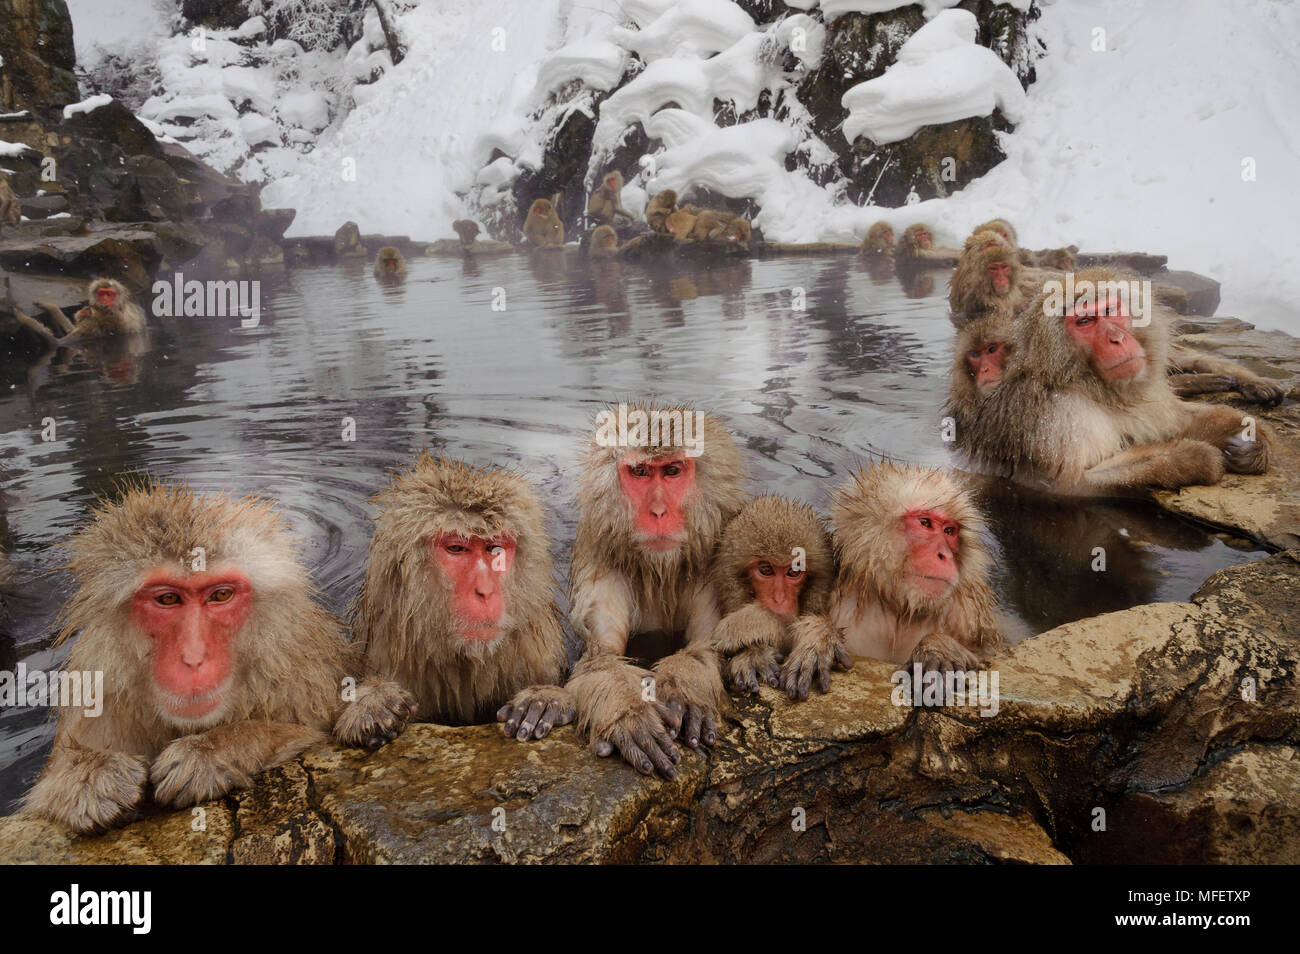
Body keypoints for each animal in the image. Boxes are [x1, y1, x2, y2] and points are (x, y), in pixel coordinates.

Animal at [21, 483, 414, 835]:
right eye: (167, 599)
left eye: (220, 595)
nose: (193, 657)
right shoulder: (102, 689)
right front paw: (92, 776)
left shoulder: (294, 668)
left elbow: (308, 732)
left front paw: (210, 750)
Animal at [565, 400, 749, 777]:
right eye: (639, 472)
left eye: (673, 471)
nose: (659, 512)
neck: (660, 569)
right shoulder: (601, 559)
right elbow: (602, 658)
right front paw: (629, 712)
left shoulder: (717, 556)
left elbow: (707, 647)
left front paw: (685, 688)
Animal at [829, 462, 1001, 672]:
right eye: (925, 523)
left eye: (949, 531)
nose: (944, 555)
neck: (902, 610)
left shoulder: (968, 615)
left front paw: (939, 647)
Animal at [966, 267, 1275, 494]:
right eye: (1084, 322)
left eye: (1109, 311)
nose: (1116, 339)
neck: (1095, 388)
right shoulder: (1054, 417)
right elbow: (1069, 485)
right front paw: (1195, 459)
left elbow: (1179, 420)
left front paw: (1251, 435)